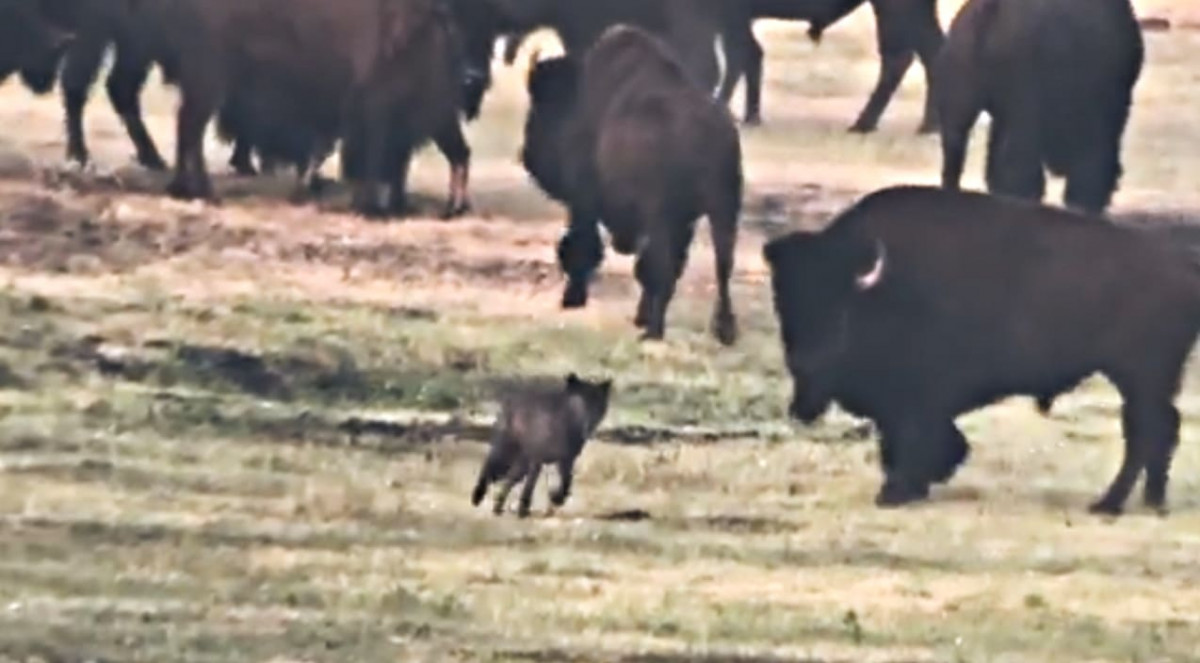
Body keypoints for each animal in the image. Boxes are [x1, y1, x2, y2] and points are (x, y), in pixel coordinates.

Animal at [471, 373, 612, 518]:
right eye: (581, 403)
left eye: (597, 405)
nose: (589, 425)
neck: (567, 423)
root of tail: (512, 402)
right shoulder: (538, 460)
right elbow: (531, 484)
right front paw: (524, 507)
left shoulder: (566, 460)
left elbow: (567, 481)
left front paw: (556, 498)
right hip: (506, 452)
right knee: (488, 468)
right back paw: (478, 497)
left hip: (521, 463)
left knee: (508, 479)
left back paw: (498, 506)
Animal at [519, 26, 742, 345]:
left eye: (541, 107)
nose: (528, 157)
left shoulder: (584, 202)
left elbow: (582, 246)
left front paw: (572, 298)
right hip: (723, 210)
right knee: (721, 265)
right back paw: (723, 330)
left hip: (665, 216)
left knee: (661, 267)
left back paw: (653, 331)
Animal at [718, 0, 944, 131]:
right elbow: (745, 56)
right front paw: (748, 116)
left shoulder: (730, 16)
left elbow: (740, 56)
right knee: (925, 52)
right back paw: (928, 124)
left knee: (904, 56)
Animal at [764, 186, 1200, 516]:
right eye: (783, 305)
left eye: (838, 307)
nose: (806, 361)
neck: (880, 291)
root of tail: (1179, 265)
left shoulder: (916, 399)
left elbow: (915, 438)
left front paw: (895, 492)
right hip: (1146, 380)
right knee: (1160, 429)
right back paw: (1150, 500)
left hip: (1140, 376)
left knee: (1147, 431)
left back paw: (1109, 504)